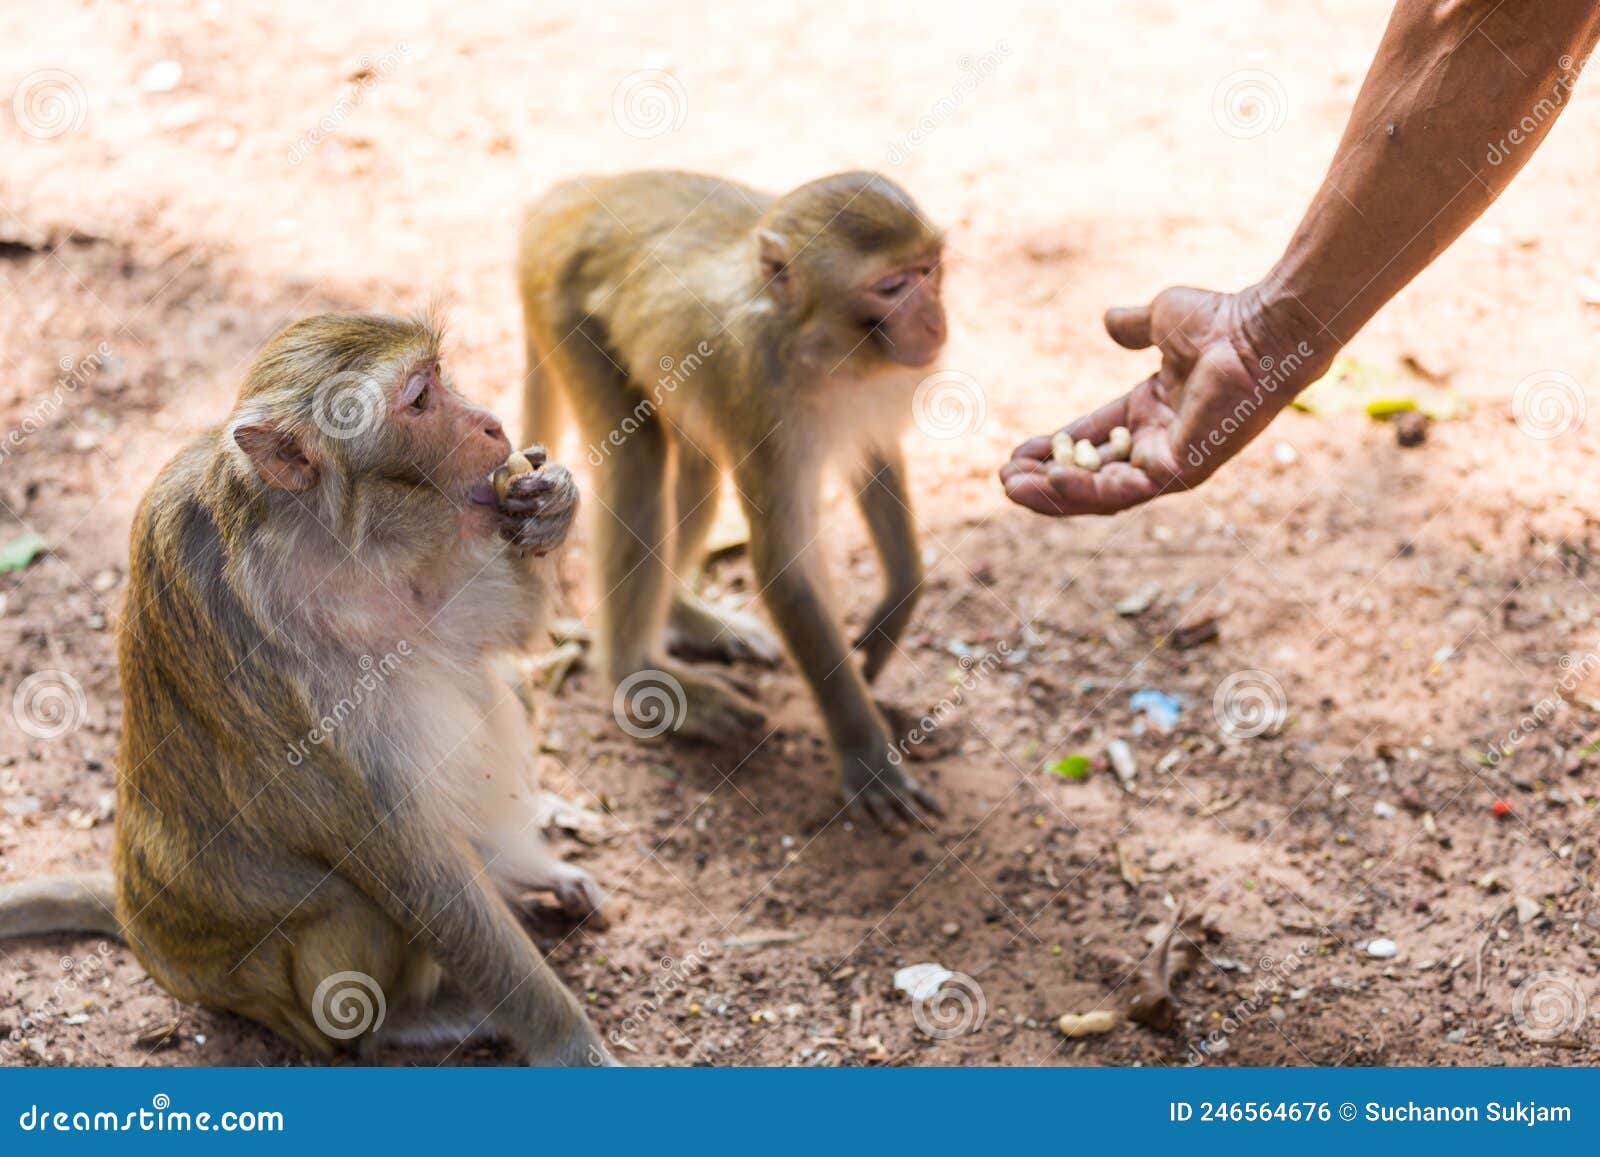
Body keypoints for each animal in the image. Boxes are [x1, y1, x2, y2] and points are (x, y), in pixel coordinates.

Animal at [0, 312, 610, 1065]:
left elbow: (495, 629)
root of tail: (139, 925)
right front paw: (571, 1042)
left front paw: (553, 498)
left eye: (439, 377)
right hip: (286, 998)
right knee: (348, 912)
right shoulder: (282, 684)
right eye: (419, 399)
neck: (333, 547)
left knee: (490, 680)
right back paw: (410, 1022)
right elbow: (412, 862)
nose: (492, 424)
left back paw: (529, 866)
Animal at [518, 171, 947, 828]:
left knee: (696, 467)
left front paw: (895, 606)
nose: (934, 321)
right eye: (891, 286)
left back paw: (683, 617)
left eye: (929, 270)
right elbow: (786, 568)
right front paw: (866, 753)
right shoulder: (762, 398)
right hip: (565, 312)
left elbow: (874, 460)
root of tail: (564, 199)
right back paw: (638, 673)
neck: (816, 347)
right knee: (639, 459)